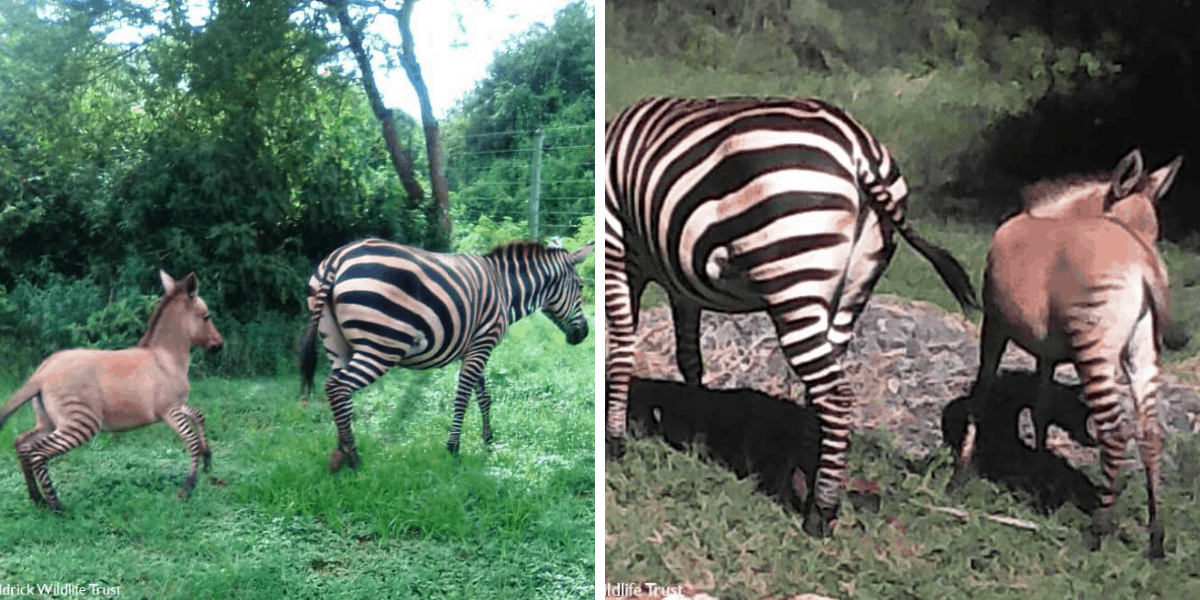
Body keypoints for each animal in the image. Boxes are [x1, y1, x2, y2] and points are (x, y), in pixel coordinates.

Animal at [299, 237, 593, 471]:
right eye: (580, 287)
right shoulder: (482, 344)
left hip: (337, 346)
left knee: (339, 393)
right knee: (337, 387)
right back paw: (353, 458)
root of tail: (338, 259)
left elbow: (484, 397)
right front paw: (454, 449)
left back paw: (341, 451)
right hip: (381, 346)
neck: (505, 289)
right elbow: (463, 397)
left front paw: (488, 442)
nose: (584, 334)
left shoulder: (474, 347)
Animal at [604, 96, 979, 536]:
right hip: (850, 289)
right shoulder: (682, 282)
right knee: (820, 392)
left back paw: (820, 513)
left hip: (792, 274)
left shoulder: (617, 251)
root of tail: (859, 147)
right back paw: (807, 478)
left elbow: (621, 349)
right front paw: (693, 435)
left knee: (834, 394)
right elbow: (690, 359)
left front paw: (614, 441)